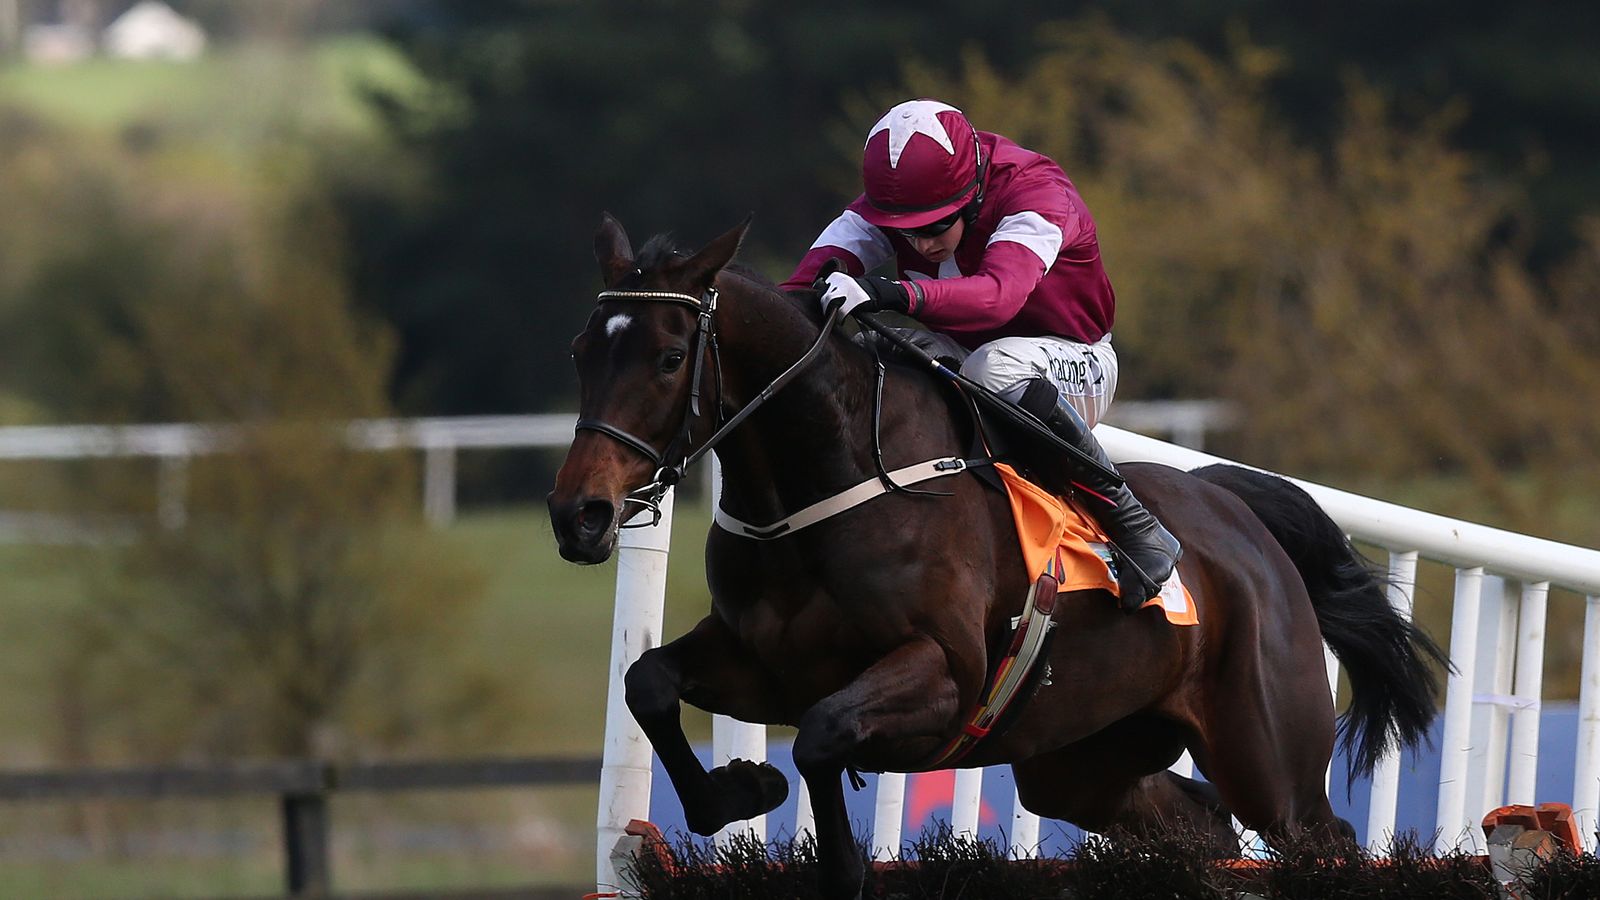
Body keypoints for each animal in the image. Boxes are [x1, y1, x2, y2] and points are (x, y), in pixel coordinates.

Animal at [548, 214, 1446, 899]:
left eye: (669, 358)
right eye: (582, 350)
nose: (578, 515)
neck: (824, 482)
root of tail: (1236, 510)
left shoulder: (944, 672)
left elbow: (823, 735)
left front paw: (822, 845)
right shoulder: (760, 661)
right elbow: (650, 683)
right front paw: (744, 786)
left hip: (1271, 764)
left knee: (1321, 838)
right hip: (1086, 760)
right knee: (1198, 821)